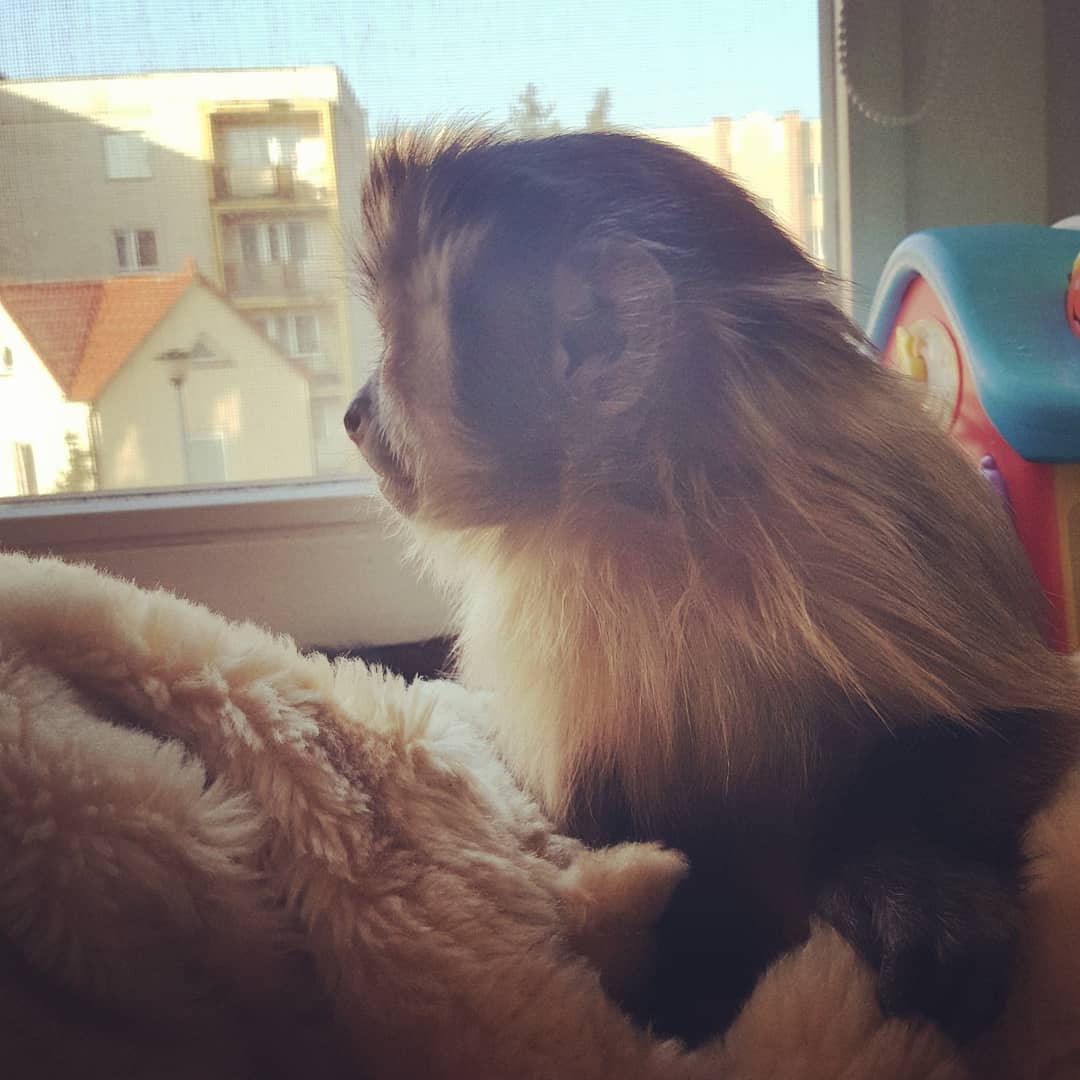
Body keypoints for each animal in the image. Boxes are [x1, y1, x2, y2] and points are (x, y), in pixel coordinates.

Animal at [343, 128, 1080, 1047]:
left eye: (389, 349)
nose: (352, 414)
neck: (666, 512)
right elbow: (606, 828)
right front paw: (695, 960)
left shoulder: (890, 528)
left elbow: (1017, 727)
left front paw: (917, 881)